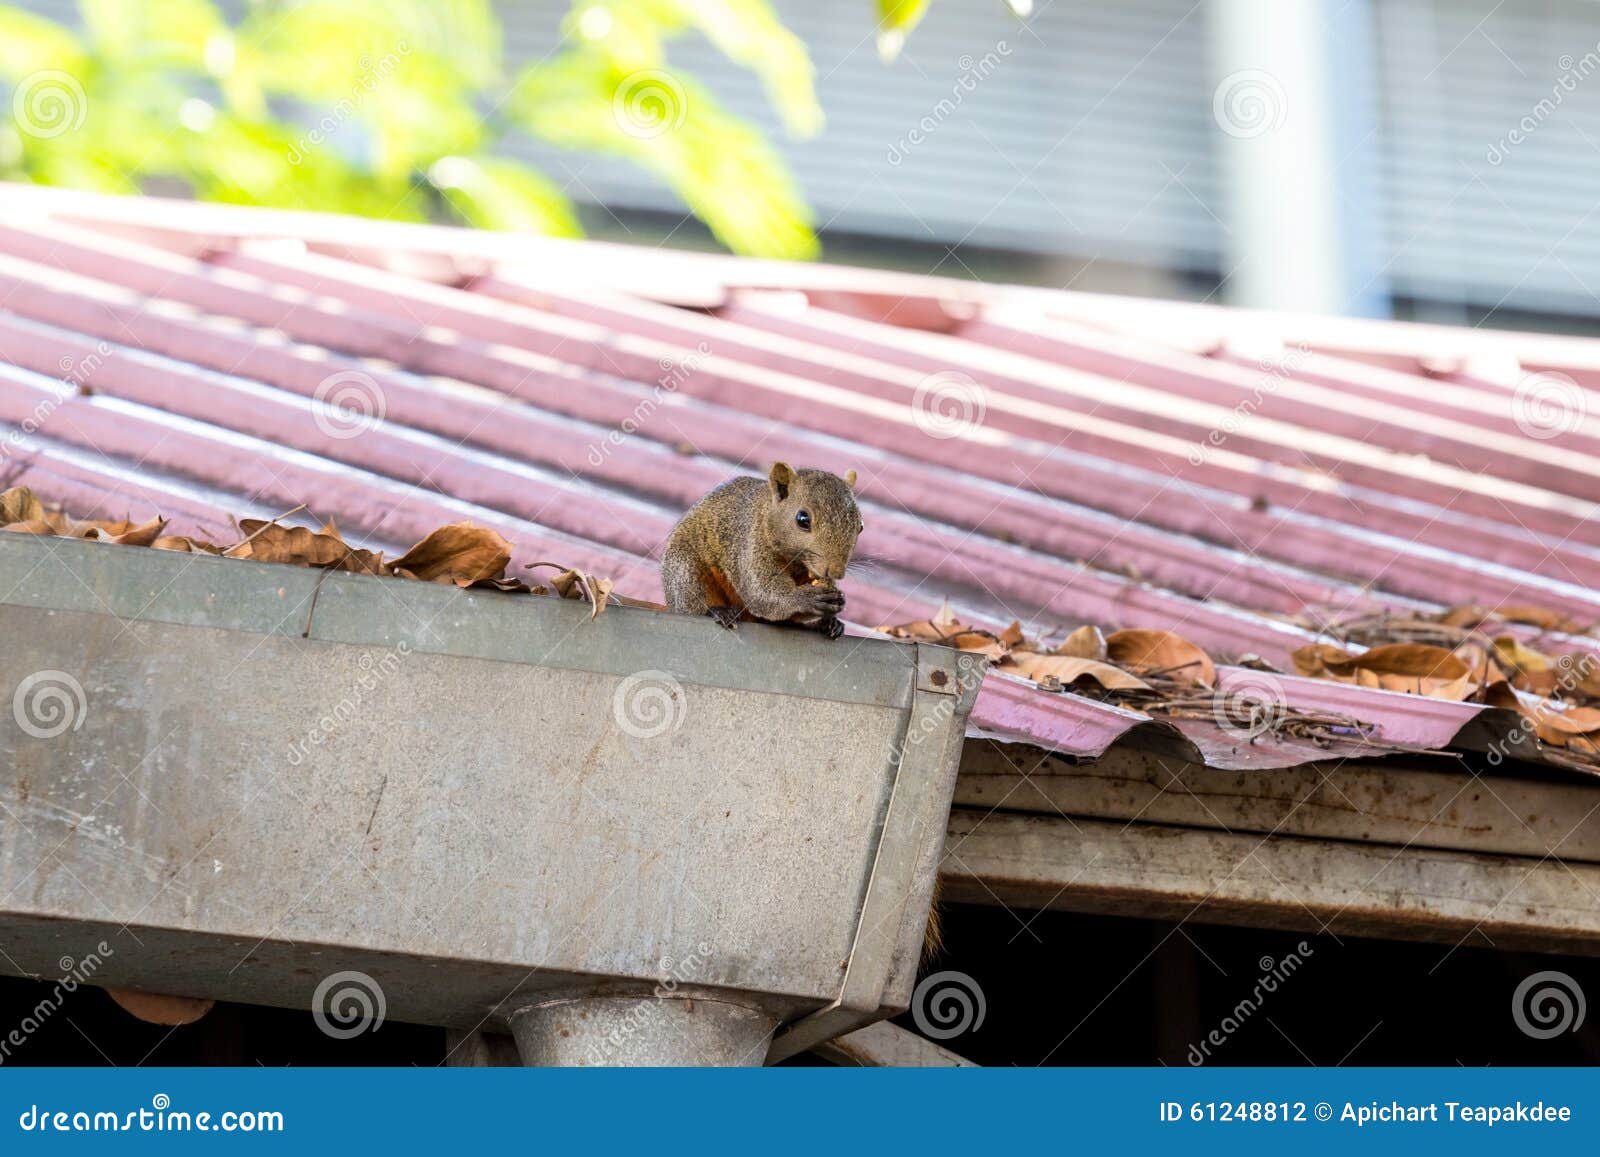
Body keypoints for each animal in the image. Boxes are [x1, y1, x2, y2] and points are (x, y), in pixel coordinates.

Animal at [661, 463, 862, 639]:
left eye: (860, 525)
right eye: (802, 519)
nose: (836, 572)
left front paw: (836, 606)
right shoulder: (748, 545)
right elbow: (760, 592)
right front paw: (806, 598)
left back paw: (828, 624)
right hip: (685, 568)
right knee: (692, 600)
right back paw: (719, 612)